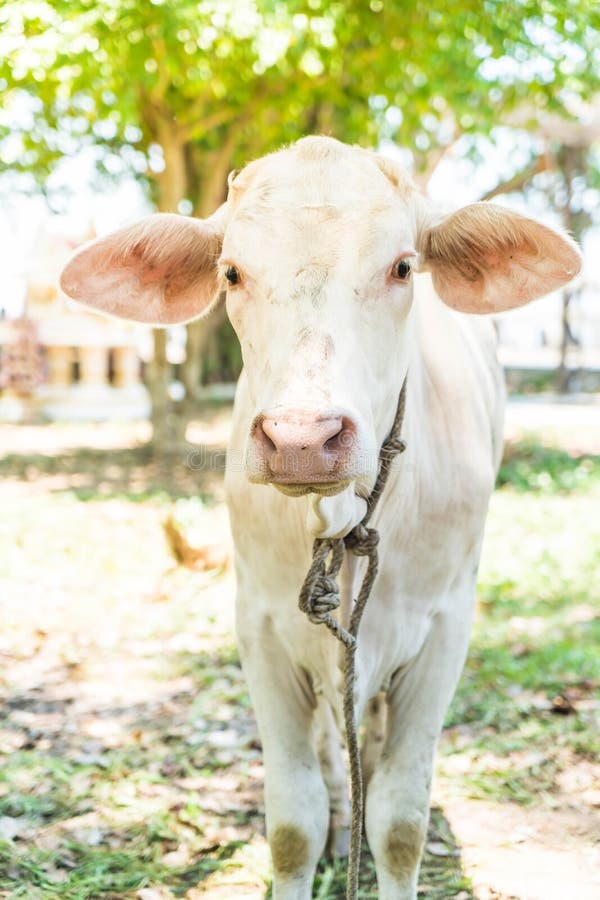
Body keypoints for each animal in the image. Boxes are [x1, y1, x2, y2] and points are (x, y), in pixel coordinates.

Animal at [60, 136, 581, 900]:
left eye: (403, 267)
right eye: (232, 271)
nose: (302, 439)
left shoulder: (446, 626)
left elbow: (400, 824)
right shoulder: (261, 627)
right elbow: (291, 825)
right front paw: (324, 828)